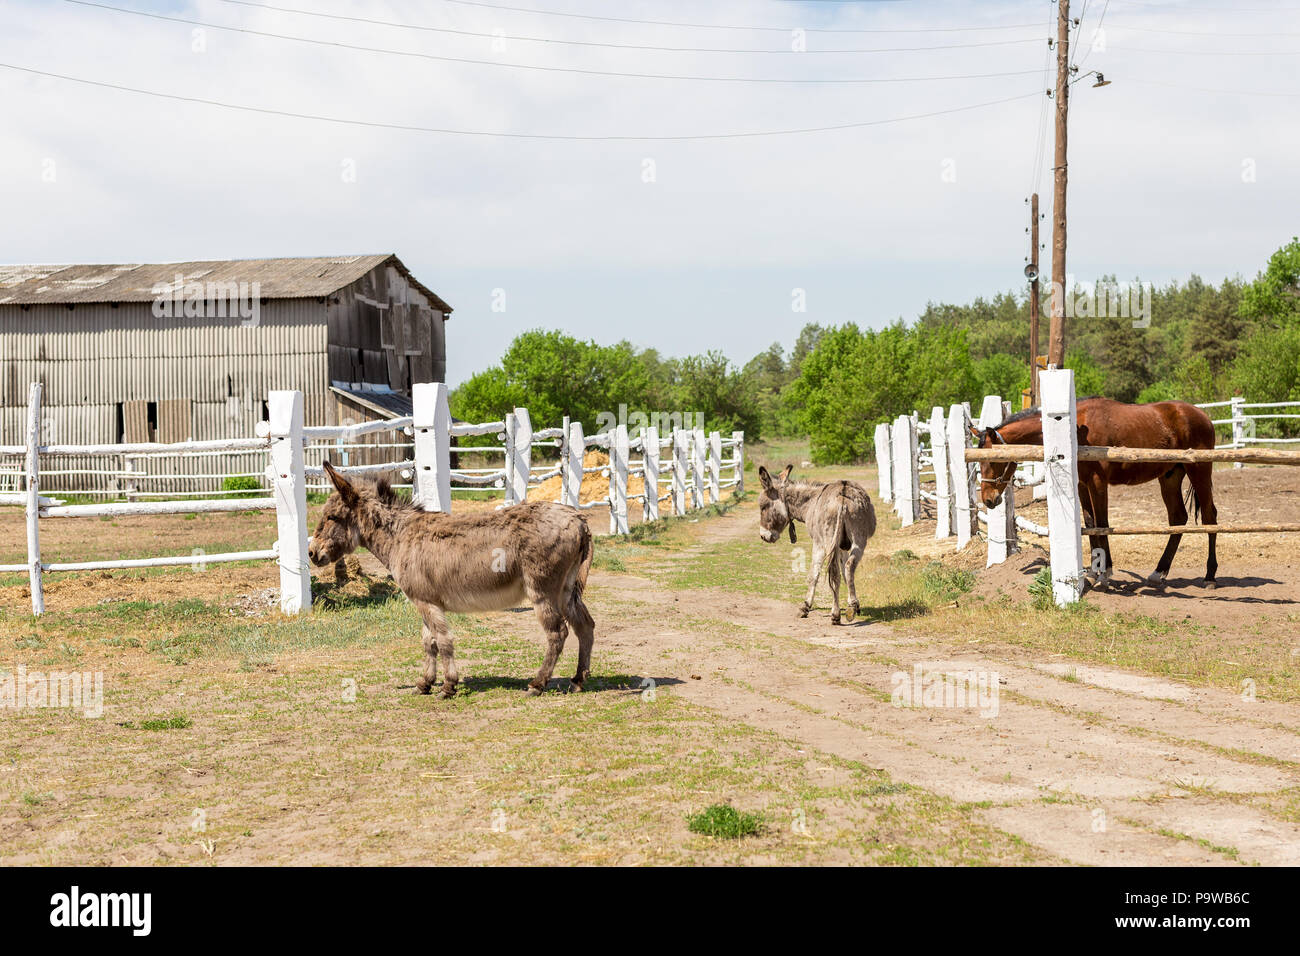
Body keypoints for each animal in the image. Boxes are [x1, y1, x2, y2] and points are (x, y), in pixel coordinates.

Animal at [309, 461, 596, 697]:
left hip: (542, 591)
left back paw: (538, 684)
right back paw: (578, 680)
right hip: (566, 590)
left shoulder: (427, 602)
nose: (311, 553)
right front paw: (424, 683)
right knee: (585, 626)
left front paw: (448, 686)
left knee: (557, 633)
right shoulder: (425, 601)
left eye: (332, 517)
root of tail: (579, 520)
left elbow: (443, 641)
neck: (400, 537)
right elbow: (429, 642)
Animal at [757, 465, 878, 623]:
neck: (811, 502)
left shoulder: (819, 543)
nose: (763, 536)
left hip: (826, 542)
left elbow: (814, 575)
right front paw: (854, 603)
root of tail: (842, 499)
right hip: (859, 539)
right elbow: (845, 573)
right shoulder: (842, 546)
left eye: (763, 507)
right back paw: (849, 610)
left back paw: (835, 615)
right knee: (849, 566)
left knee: (829, 573)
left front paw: (805, 606)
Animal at [972, 397, 1219, 589]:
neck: (1077, 429)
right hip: (1170, 476)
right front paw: (1093, 572)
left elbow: (1102, 523)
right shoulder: (1082, 484)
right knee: (1178, 519)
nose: (988, 499)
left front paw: (1105, 572)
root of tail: (1202, 416)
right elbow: (1090, 523)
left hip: (1199, 471)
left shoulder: (1098, 483)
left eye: (993, 460)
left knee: (1209, 517)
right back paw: (1159, 572)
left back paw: (1209, 576)